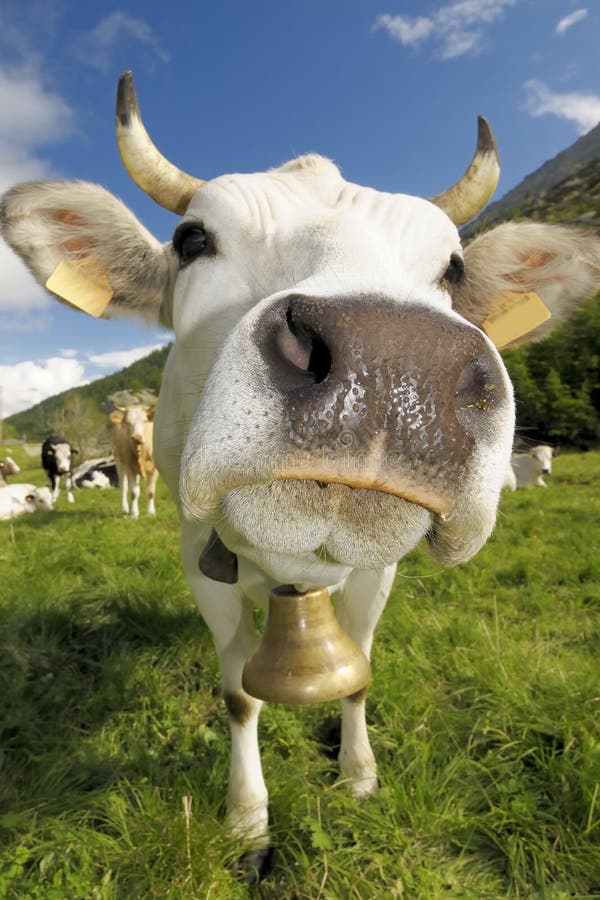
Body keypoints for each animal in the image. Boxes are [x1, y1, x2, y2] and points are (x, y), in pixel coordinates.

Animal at [1, 71, 599, 879]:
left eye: (454, 269)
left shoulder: (379, 573)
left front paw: (358, 776)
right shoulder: (201, 561)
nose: (392, 363)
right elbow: (238, 697)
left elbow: (362, 673)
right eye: (192, 240)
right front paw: (247, 820)